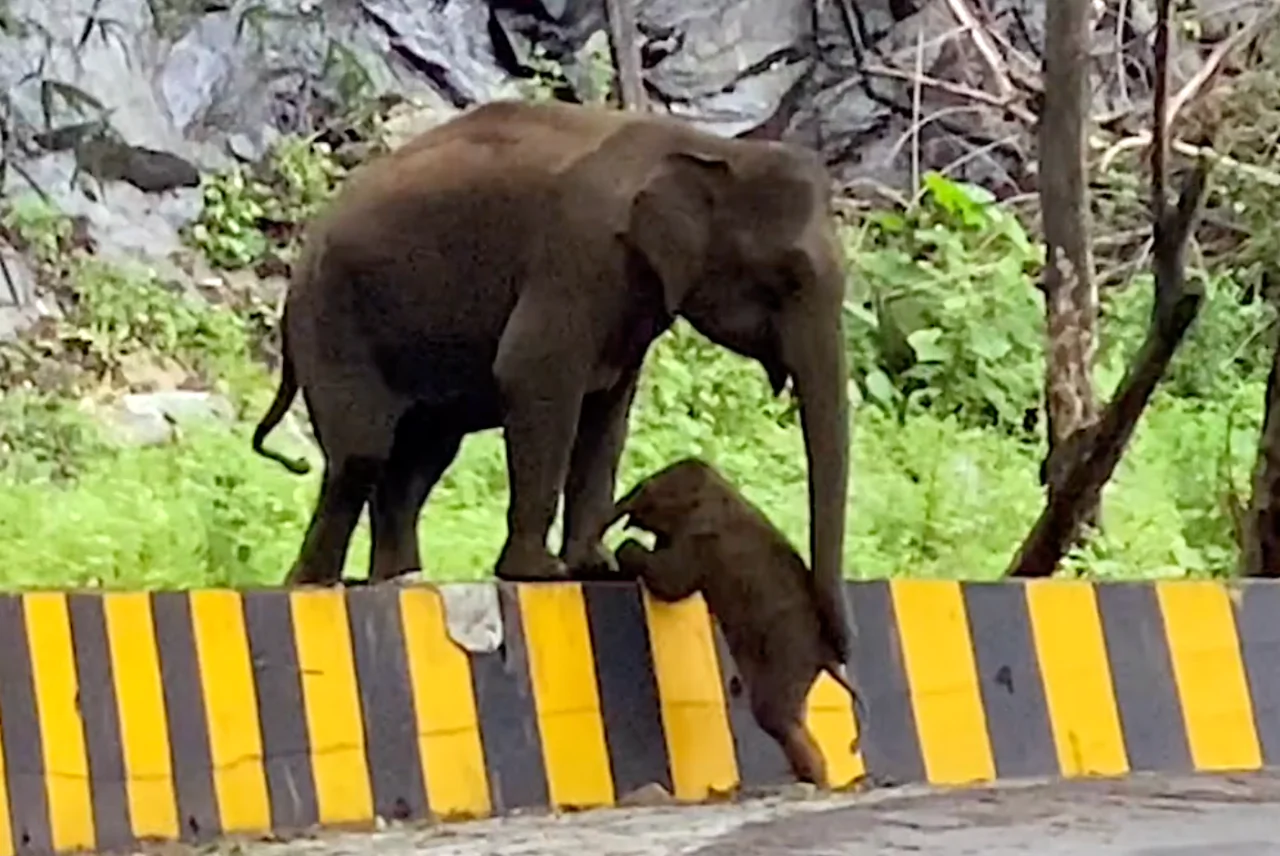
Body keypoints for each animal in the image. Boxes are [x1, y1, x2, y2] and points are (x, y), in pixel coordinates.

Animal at [250, 98, 853, 662]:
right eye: (787, 277)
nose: (840, 650)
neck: (711, 147)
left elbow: (609, 410)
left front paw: (595, 565)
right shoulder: (579, 254)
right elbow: (533, 374)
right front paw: (541, 572)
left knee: (417, 463)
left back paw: (401, 580)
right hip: (332, 321)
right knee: (363, 456)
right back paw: (315, 586)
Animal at [605, 457, 864, 788]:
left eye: (647, 488)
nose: (618, 513)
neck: (718, 487)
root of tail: (827, 657)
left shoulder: (701, 540)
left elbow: (672, 583)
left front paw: (624, 550)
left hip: (789, 654)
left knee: (773, 714)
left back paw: (813, 783)